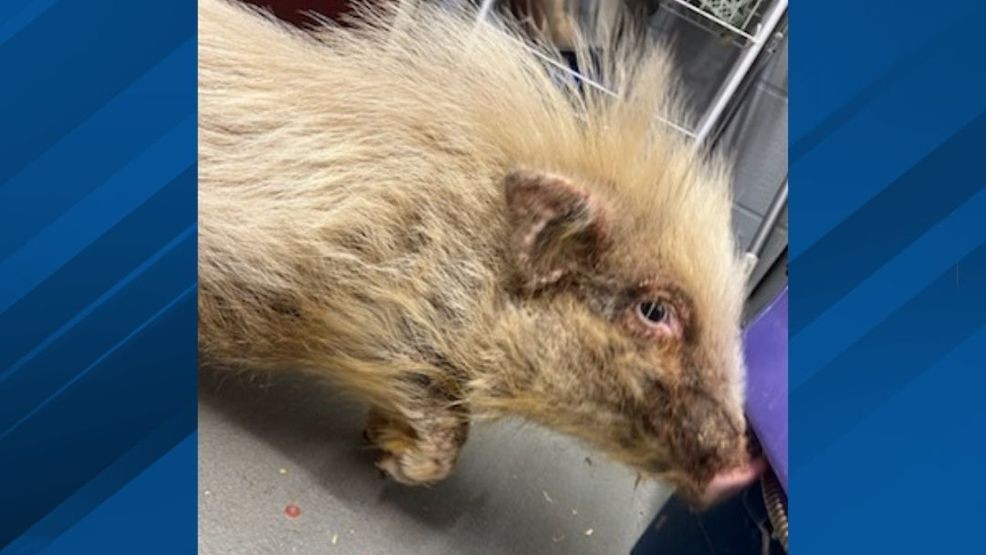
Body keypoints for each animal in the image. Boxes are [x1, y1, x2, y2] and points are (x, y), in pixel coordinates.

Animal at [198, 0, 759, 506]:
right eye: (653, 311)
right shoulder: (381, 328)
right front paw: (393, 464)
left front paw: (378, 442)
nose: (743, 470)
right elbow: (444, 420)